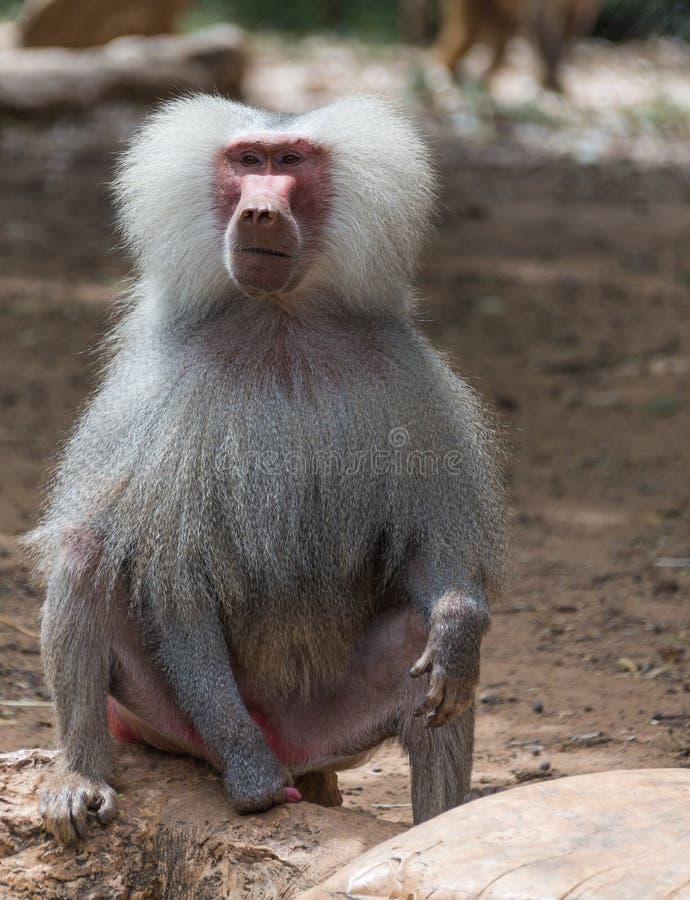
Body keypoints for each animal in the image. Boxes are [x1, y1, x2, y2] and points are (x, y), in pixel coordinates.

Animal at [25, 94, 508, 846]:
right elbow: (172, 582)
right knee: (86, 552)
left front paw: (460, 624)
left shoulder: (406, 379)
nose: (259, 212)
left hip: (336, 729)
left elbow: (424, 558)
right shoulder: (162, 394)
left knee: (419, 653)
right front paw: (251, 780)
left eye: (291, 162)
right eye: (247, 160)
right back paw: (83, 777)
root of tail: (295, 745)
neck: (279, 323)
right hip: (169, 727)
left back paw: (439, 826)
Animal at [435, 0, 602, 91]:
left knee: (498, 33)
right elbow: (545, 23)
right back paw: (449, 68)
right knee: (467, 31)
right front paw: (552, 82)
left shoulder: (580, 10)